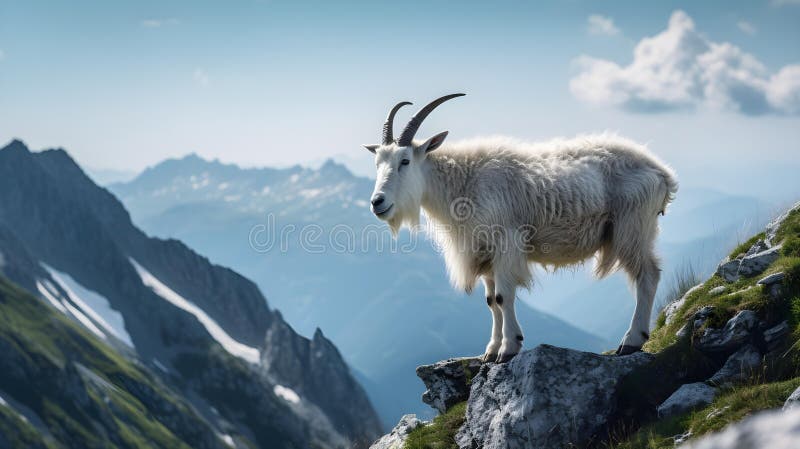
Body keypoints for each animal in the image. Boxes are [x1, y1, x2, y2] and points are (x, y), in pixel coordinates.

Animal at [363, 94, 677, 363]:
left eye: (405, 161)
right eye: (377, 163)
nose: (378, 202)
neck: (464, 182)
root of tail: (662, 172)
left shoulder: (506, 243)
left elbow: (504, 296)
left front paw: (509, 348)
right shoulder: (485, 251)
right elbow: (491, 301)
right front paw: (490, 350)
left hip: (632, 228)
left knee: (648, 275)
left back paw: (632, 340)